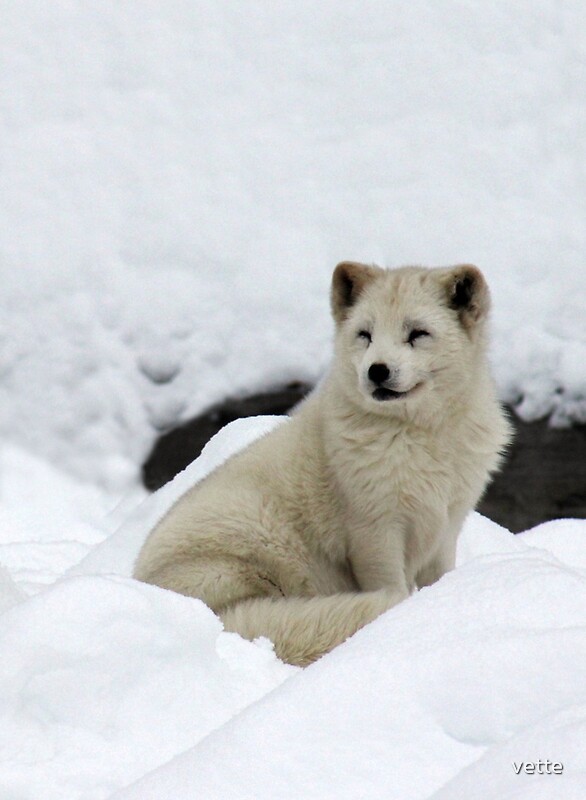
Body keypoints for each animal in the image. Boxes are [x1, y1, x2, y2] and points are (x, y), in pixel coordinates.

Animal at [134, 262, 511, 666]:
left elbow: (439, 578)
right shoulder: (373, 531)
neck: (423, 440)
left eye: (417, 334)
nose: (377, 370)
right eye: (365, 335)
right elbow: (391, 585)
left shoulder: (446, 525)